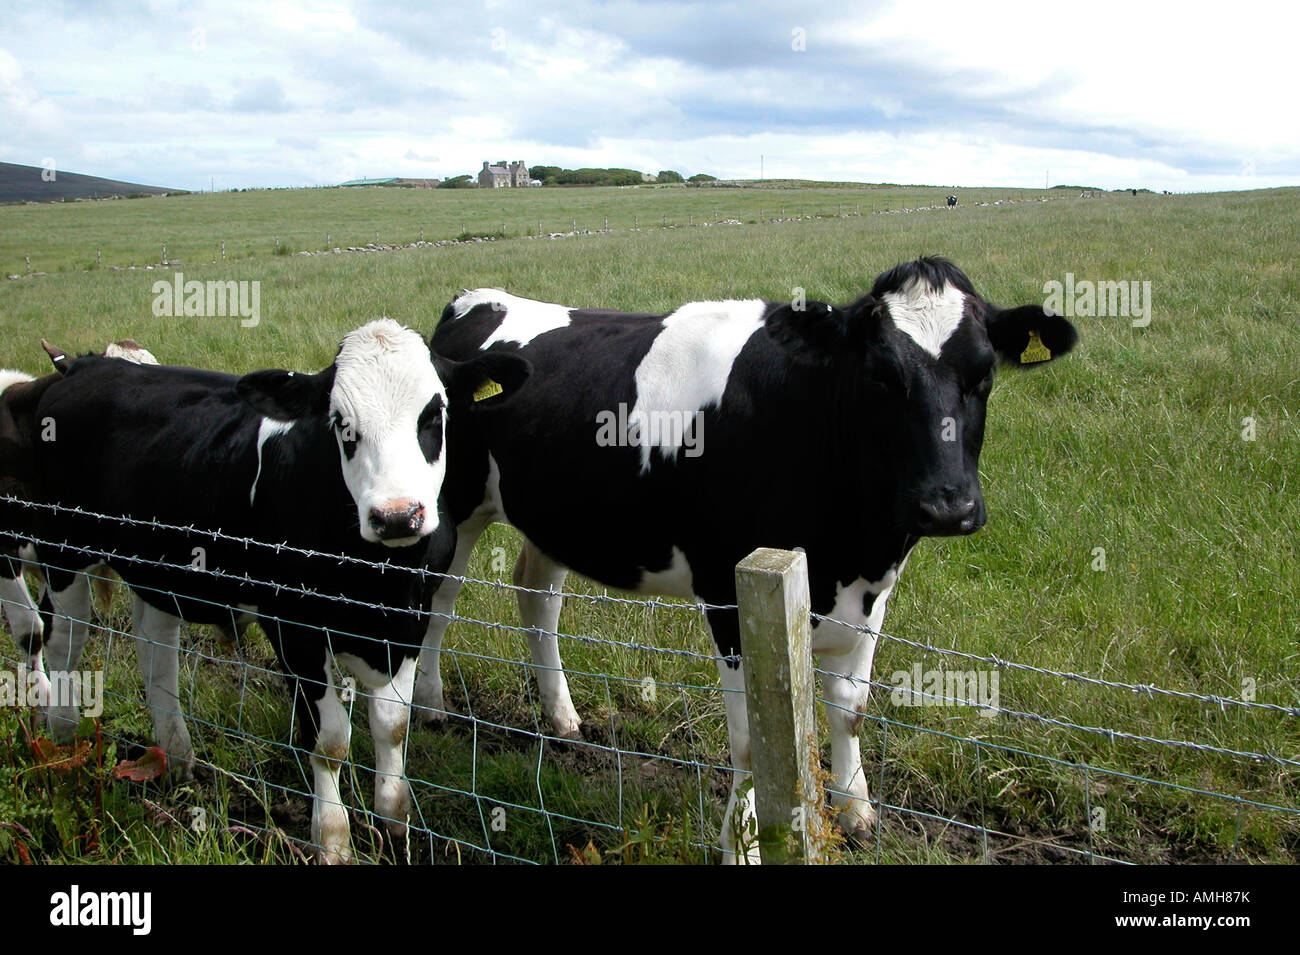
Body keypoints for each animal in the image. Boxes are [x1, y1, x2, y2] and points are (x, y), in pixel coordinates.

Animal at [3, 321, 526, 862]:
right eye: (340, 423)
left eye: (434, 413)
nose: (398, 515)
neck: (380, 576)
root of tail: (82, 366)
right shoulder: (292, 625)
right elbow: (329, 739)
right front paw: (333, 840)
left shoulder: (410, 619)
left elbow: (391, 723)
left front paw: (395, 824)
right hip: (63, 547)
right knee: (63, 639)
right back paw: (64, 747)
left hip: (156, 567)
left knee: (155, 645)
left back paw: (177, 757)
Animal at [413, 257, 1078, 862]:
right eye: (881, 376)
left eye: (984, 373)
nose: (947, 506)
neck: (854, 548)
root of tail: (474, 302)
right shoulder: (730, 593)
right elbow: (753, 744)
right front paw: (743, 847)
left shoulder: (872, 596)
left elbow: (852, 711)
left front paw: (857, 814)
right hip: (453, 507)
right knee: (438, 602)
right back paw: (430, 706)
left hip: (550, 516)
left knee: (537, 597)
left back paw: (563, 718)